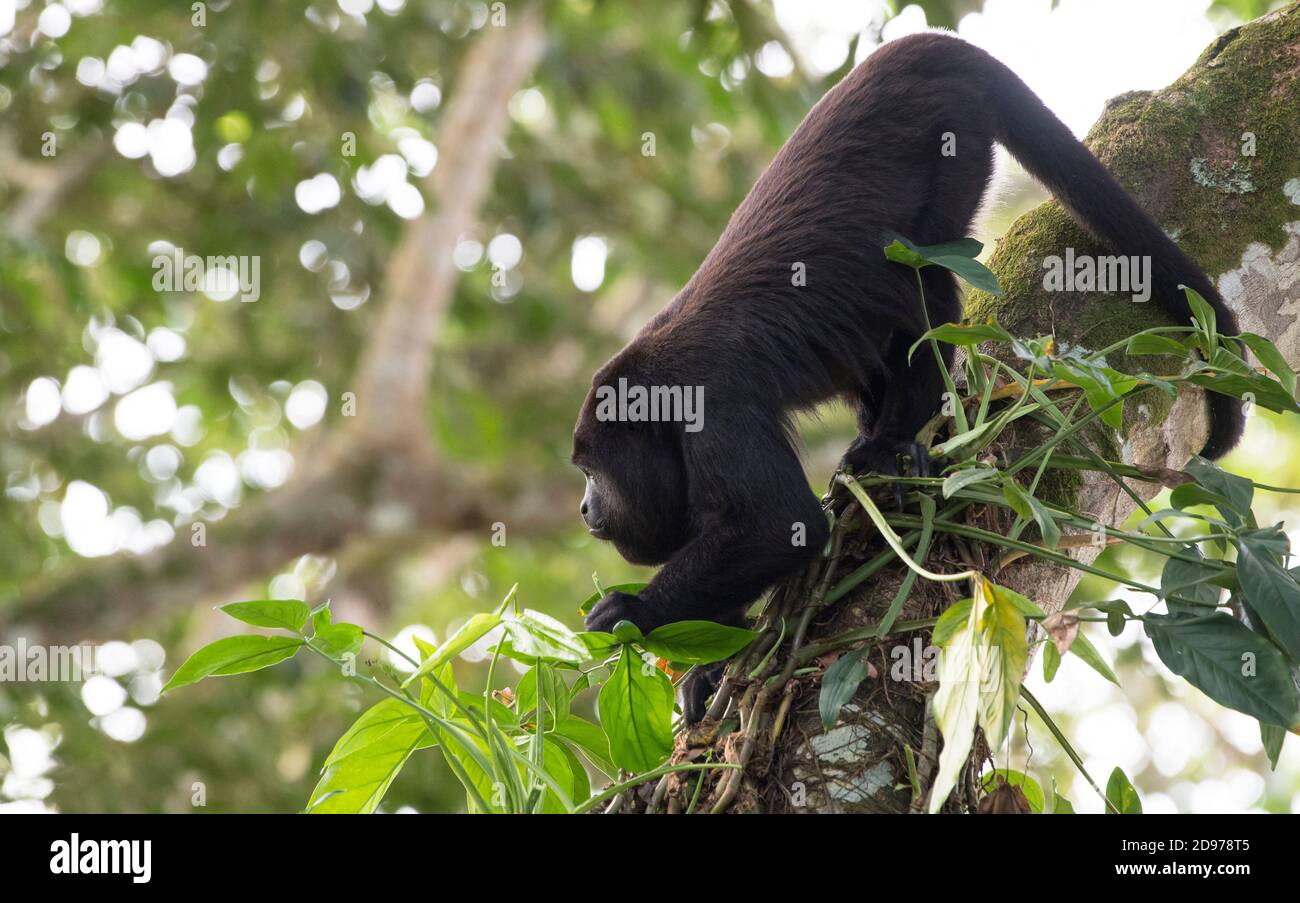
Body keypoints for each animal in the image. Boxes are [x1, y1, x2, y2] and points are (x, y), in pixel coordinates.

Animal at [572, 32, 1243, 722]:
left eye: (591, 469)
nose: (584, 507)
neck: (657, 394)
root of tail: (919, 48)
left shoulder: (713, 403)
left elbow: (777, 526)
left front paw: (630, 612)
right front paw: (707, 669)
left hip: (948, 140)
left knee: (926, 273)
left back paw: (892, 441)